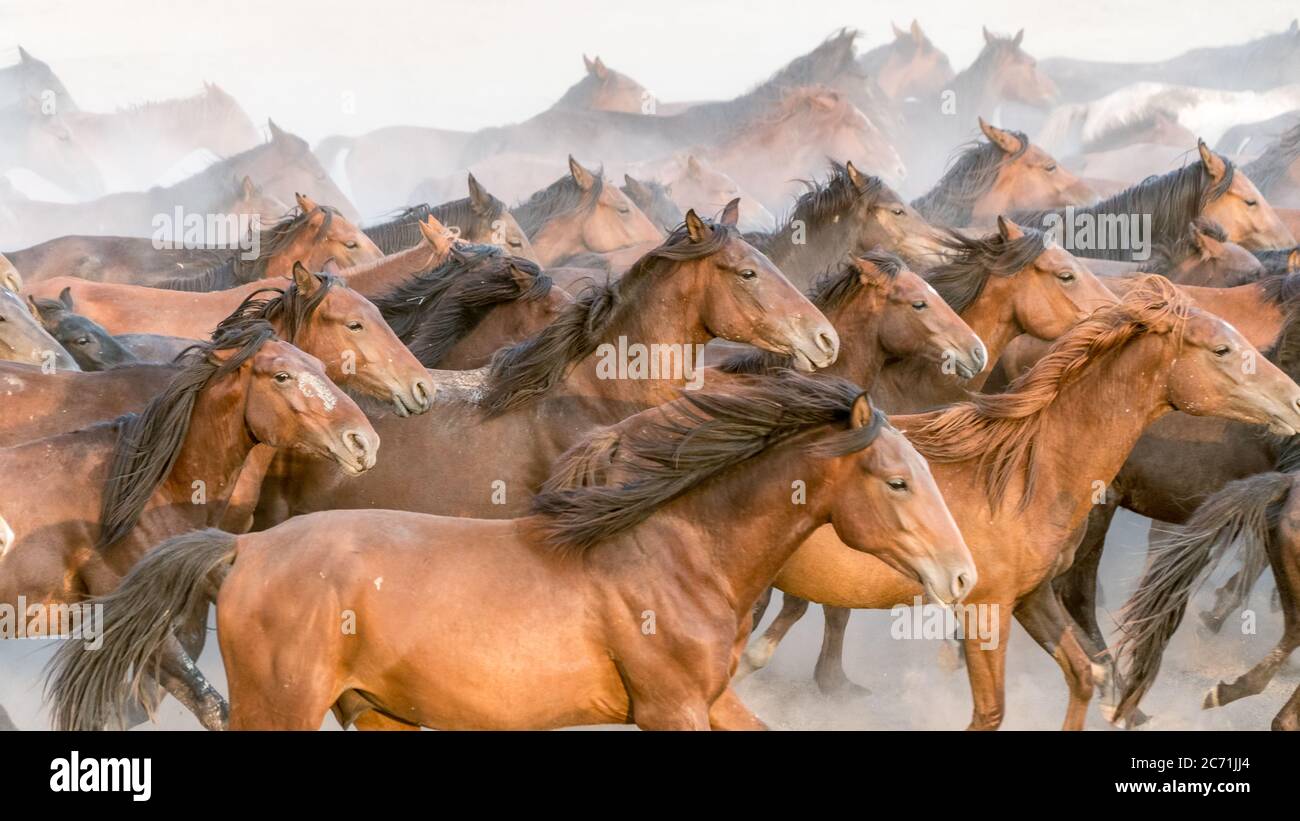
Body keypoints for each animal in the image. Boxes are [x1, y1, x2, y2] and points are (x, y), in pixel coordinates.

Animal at [48, 370, 977, 731]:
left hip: (372, 709)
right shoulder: (670, 708)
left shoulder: (708, 702)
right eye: (898, 481)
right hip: (282, 710)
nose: (963, 574)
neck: (677, 557)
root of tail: (242, 552)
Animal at [737, 278, 1300, 729]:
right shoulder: (987, 609)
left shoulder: (1032, 596)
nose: (1294, 399)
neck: (1021, 472)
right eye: (1222, 349)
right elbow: (990, 712)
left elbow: (1081, 676)